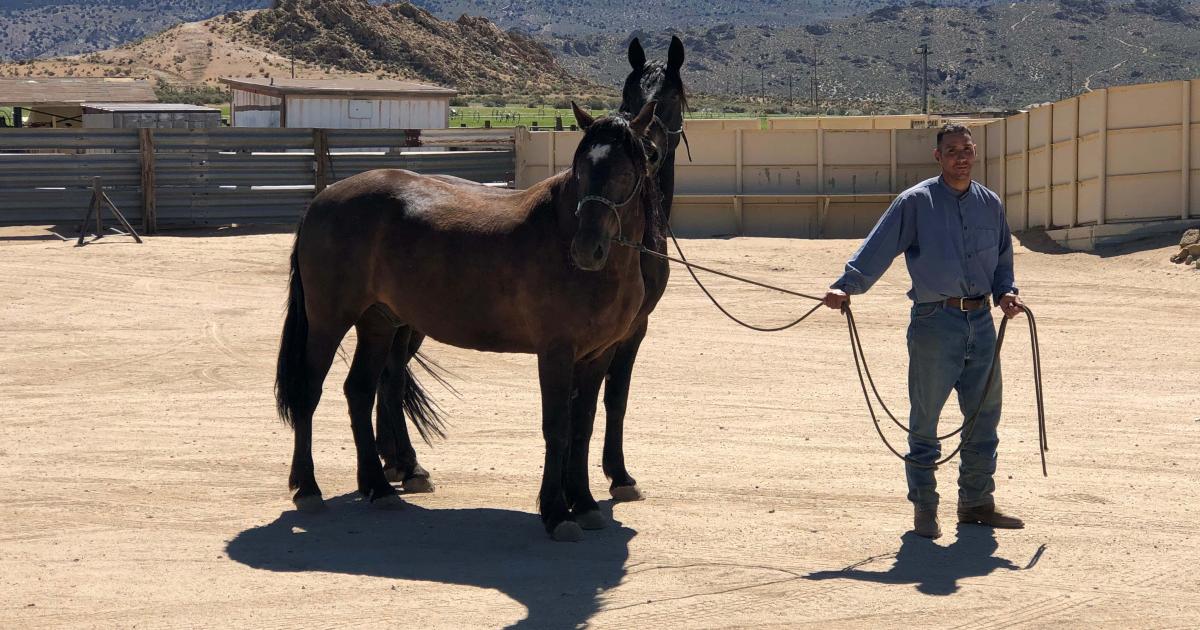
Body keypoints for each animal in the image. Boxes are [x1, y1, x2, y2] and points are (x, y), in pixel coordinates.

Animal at [275, 103, 664, 541]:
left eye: (628, 169)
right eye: (581, 168)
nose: (586, 249)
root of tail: (322, 200)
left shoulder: (599, 354)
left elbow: (583, 425)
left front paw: (583, 503)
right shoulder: (556, 353)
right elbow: (557, 427)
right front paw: (556, 512)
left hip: (378, 324)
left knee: (360, 390)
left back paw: (378, 486)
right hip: (329, 321)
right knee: (309, 392)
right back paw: (308, 488)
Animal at [372, 37, 690, 503]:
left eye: (667, 97)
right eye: (629, 95)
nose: (647, 150)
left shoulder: (629, 329)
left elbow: (609, 400)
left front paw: (602, 479)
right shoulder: (616, 331)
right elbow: (602, 401)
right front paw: (609, 478)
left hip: (407, 321)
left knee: (389, 377)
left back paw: (399, 463)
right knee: (389, 377)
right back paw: (403, 465)